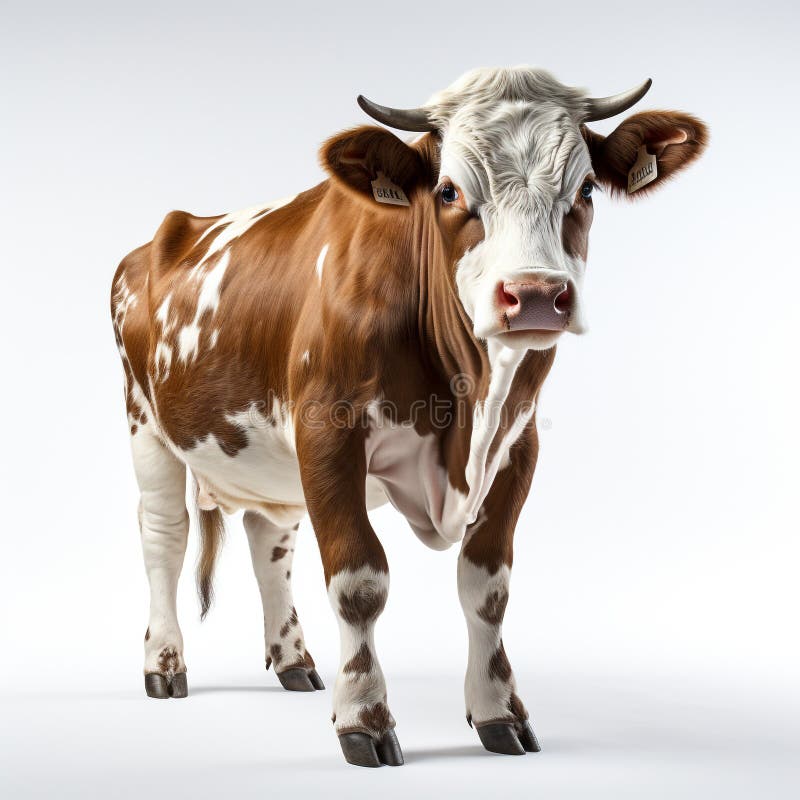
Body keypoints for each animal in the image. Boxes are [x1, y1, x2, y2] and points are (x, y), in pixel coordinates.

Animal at [111, 66, 707, 767]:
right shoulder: (328, 433)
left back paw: (294, 662)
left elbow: (487, 586)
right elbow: (359, 581)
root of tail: (164, 233)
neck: (468, 405)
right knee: (164, 538)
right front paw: (363, 718)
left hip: (264, 457)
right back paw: (164, 664)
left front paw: (498, 711)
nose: (535, 295)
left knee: (269, 542)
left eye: (586, 187)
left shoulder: (519, 444)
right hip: (145, 422)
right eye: (448, 191)